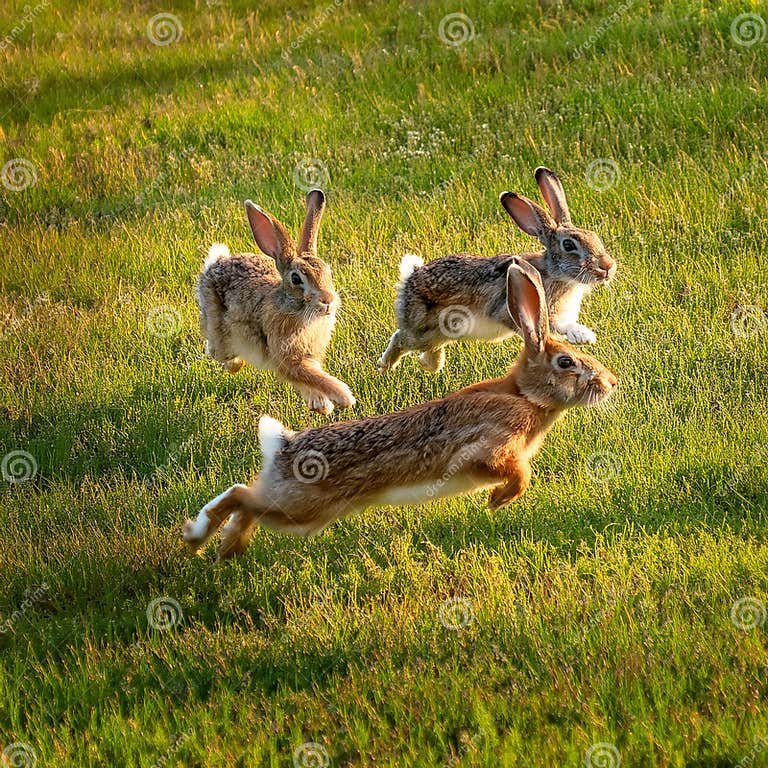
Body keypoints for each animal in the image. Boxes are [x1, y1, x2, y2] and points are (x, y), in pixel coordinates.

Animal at [183, 257, 617, 560]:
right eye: (566, 362)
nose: (610, 382)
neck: (524, 395)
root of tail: (282, 445)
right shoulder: (488, 447)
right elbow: (518, 473)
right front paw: (497, 501)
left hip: (304, 515)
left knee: (245, 502)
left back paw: (226, 548)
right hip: (300, 509)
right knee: (242, 497)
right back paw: (198, 537)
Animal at [197, 189, 355, 416]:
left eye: (329, 273)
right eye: (296, 279)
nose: (328, 301)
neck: (296, 310)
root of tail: (215, 263)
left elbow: (309, 377)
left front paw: (320, 405)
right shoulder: (286, 357)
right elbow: (311, 376)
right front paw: (343, 396)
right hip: (219, 332)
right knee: (215, 350)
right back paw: (231, 363)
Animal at [377, 167, 617, 374]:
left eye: (594, 236)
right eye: (568, 245)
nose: (607, 266)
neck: (554, 273)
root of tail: (411, 276)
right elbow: (557, 326)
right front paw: (583, 335)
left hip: (441, 334)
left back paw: (428, 365)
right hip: (422, 329)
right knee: (400, 338)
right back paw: (384, 366)